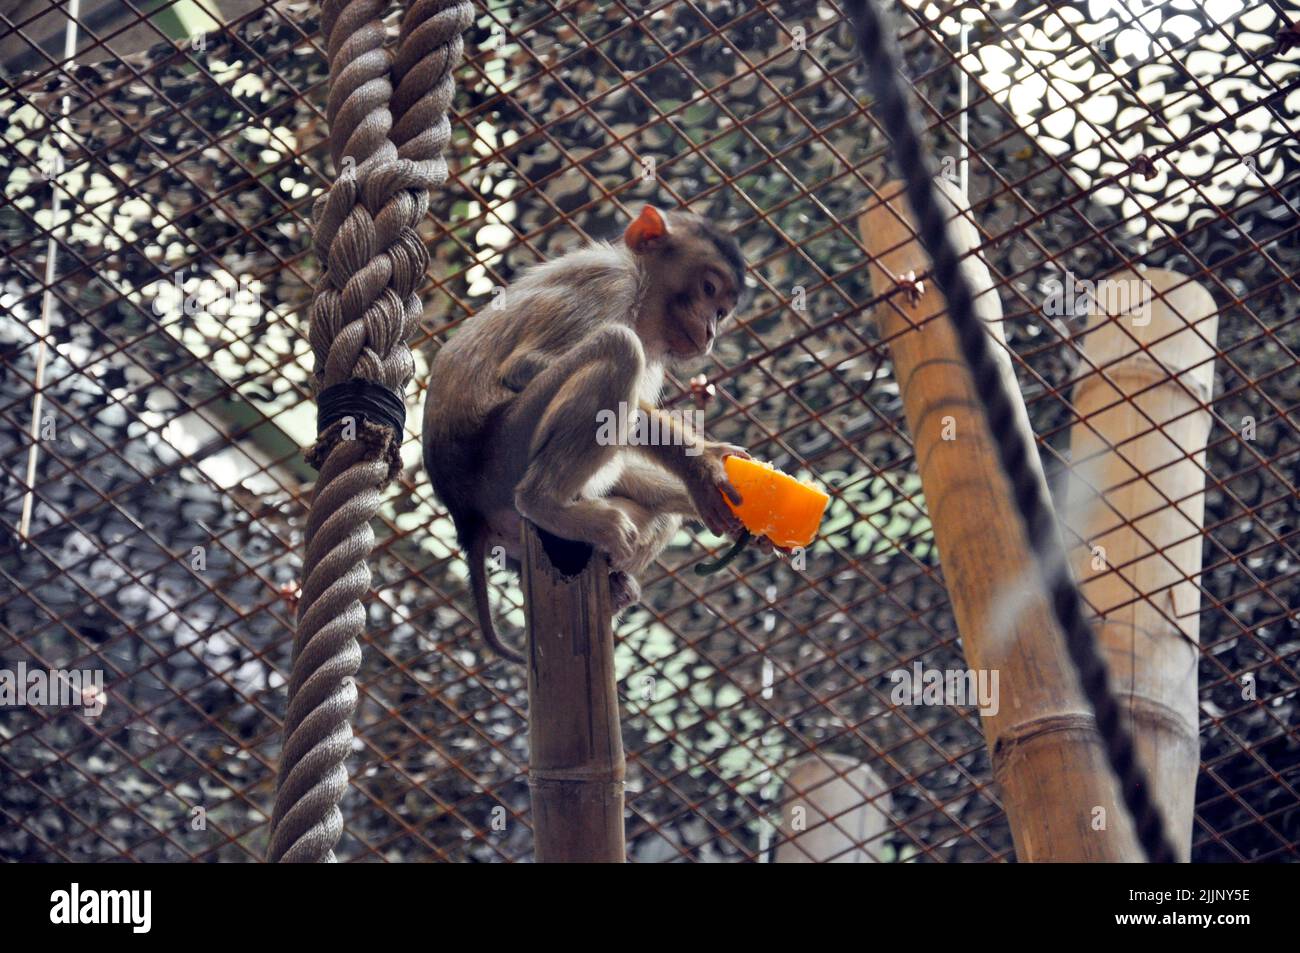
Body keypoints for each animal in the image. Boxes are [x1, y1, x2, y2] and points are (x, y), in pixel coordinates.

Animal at [422, 205, 756, 663]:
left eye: (722, 311)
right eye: (708, 289)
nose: (709, 332)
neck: (641, 293)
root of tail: (464, 515)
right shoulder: (608, 282)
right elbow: (526, 367)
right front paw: (702, 466)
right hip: (500, 453)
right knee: (619, 347)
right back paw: (545, 502)